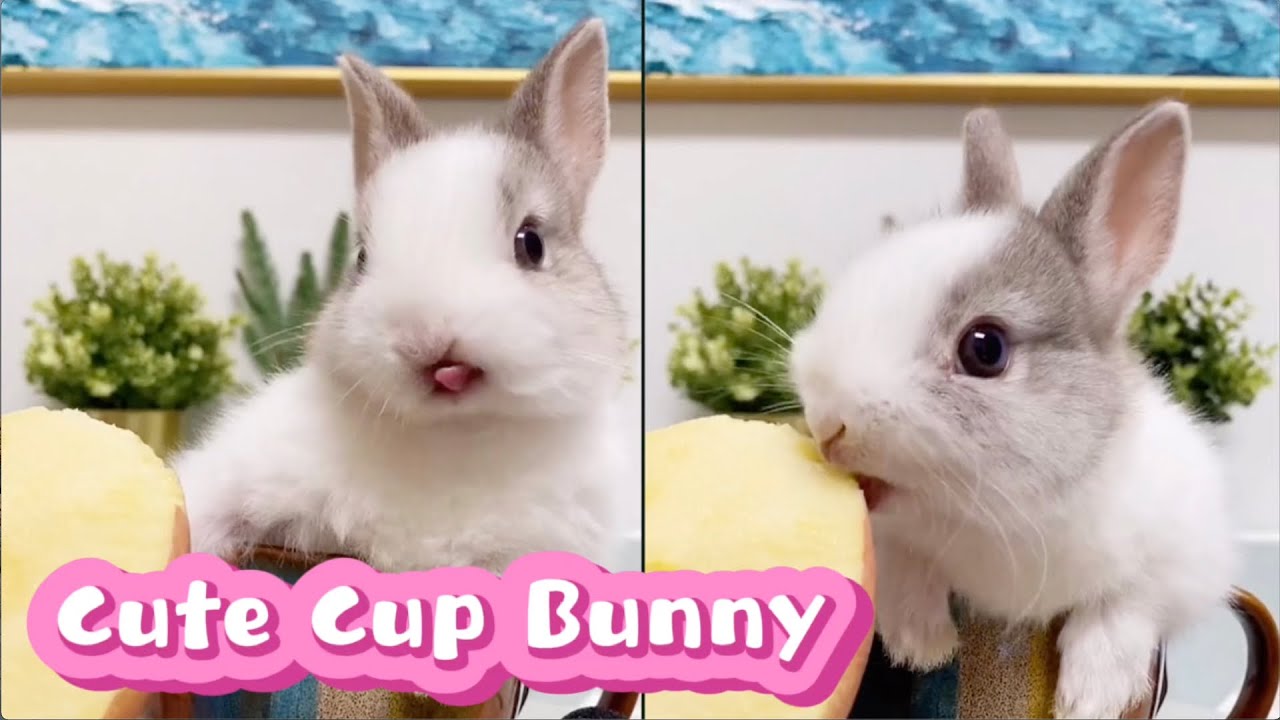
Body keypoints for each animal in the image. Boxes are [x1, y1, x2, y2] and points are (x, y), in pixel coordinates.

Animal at [789, 101, 1236, 719]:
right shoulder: (887, 536)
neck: (996, 517)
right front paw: (922, 644)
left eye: (985, 349)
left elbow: (1130, 600)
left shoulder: (1188, 552)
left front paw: (1092, 694)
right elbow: (902, 559)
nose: (827, 422)